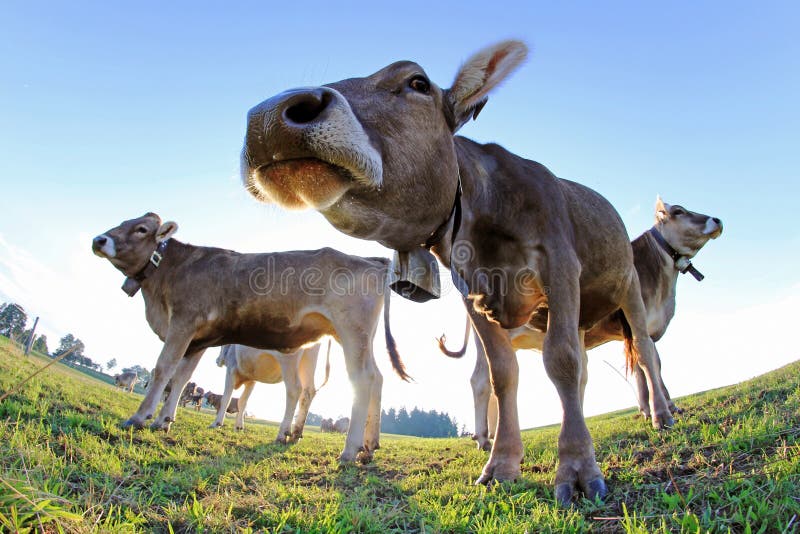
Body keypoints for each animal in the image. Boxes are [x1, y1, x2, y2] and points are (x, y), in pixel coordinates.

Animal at [92, 213, 402, 463]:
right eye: (123, 222)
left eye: (141, 229)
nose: (98, 239)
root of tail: (373, 261)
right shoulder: (197, 341)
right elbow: (180, 379)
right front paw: (163, 421)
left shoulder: (182, 323)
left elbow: (163, 369)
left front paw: (139, 417)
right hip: (353, 338)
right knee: (375, 377)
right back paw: (368, 445)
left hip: (351, 332)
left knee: (360, 380)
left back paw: (348, 450)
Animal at [241, 40, 676, 503]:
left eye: (417, 82)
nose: (268, 117)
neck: (487, 213)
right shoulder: (472, 293)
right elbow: (503, 375)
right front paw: (502, 464)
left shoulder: (559, 263)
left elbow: (560, 361)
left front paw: (576, 468)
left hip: (627, 288)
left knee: (644, 352)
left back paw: (662, 415)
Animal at [439, 198, 723, 450]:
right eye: (679, 211)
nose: (717, 219)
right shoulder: (638, 321)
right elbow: (652, 362)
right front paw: (663, 409)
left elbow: (642, 367)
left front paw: (649, 408)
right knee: (481, 381)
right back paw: (484, 438)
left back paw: (494, 434)